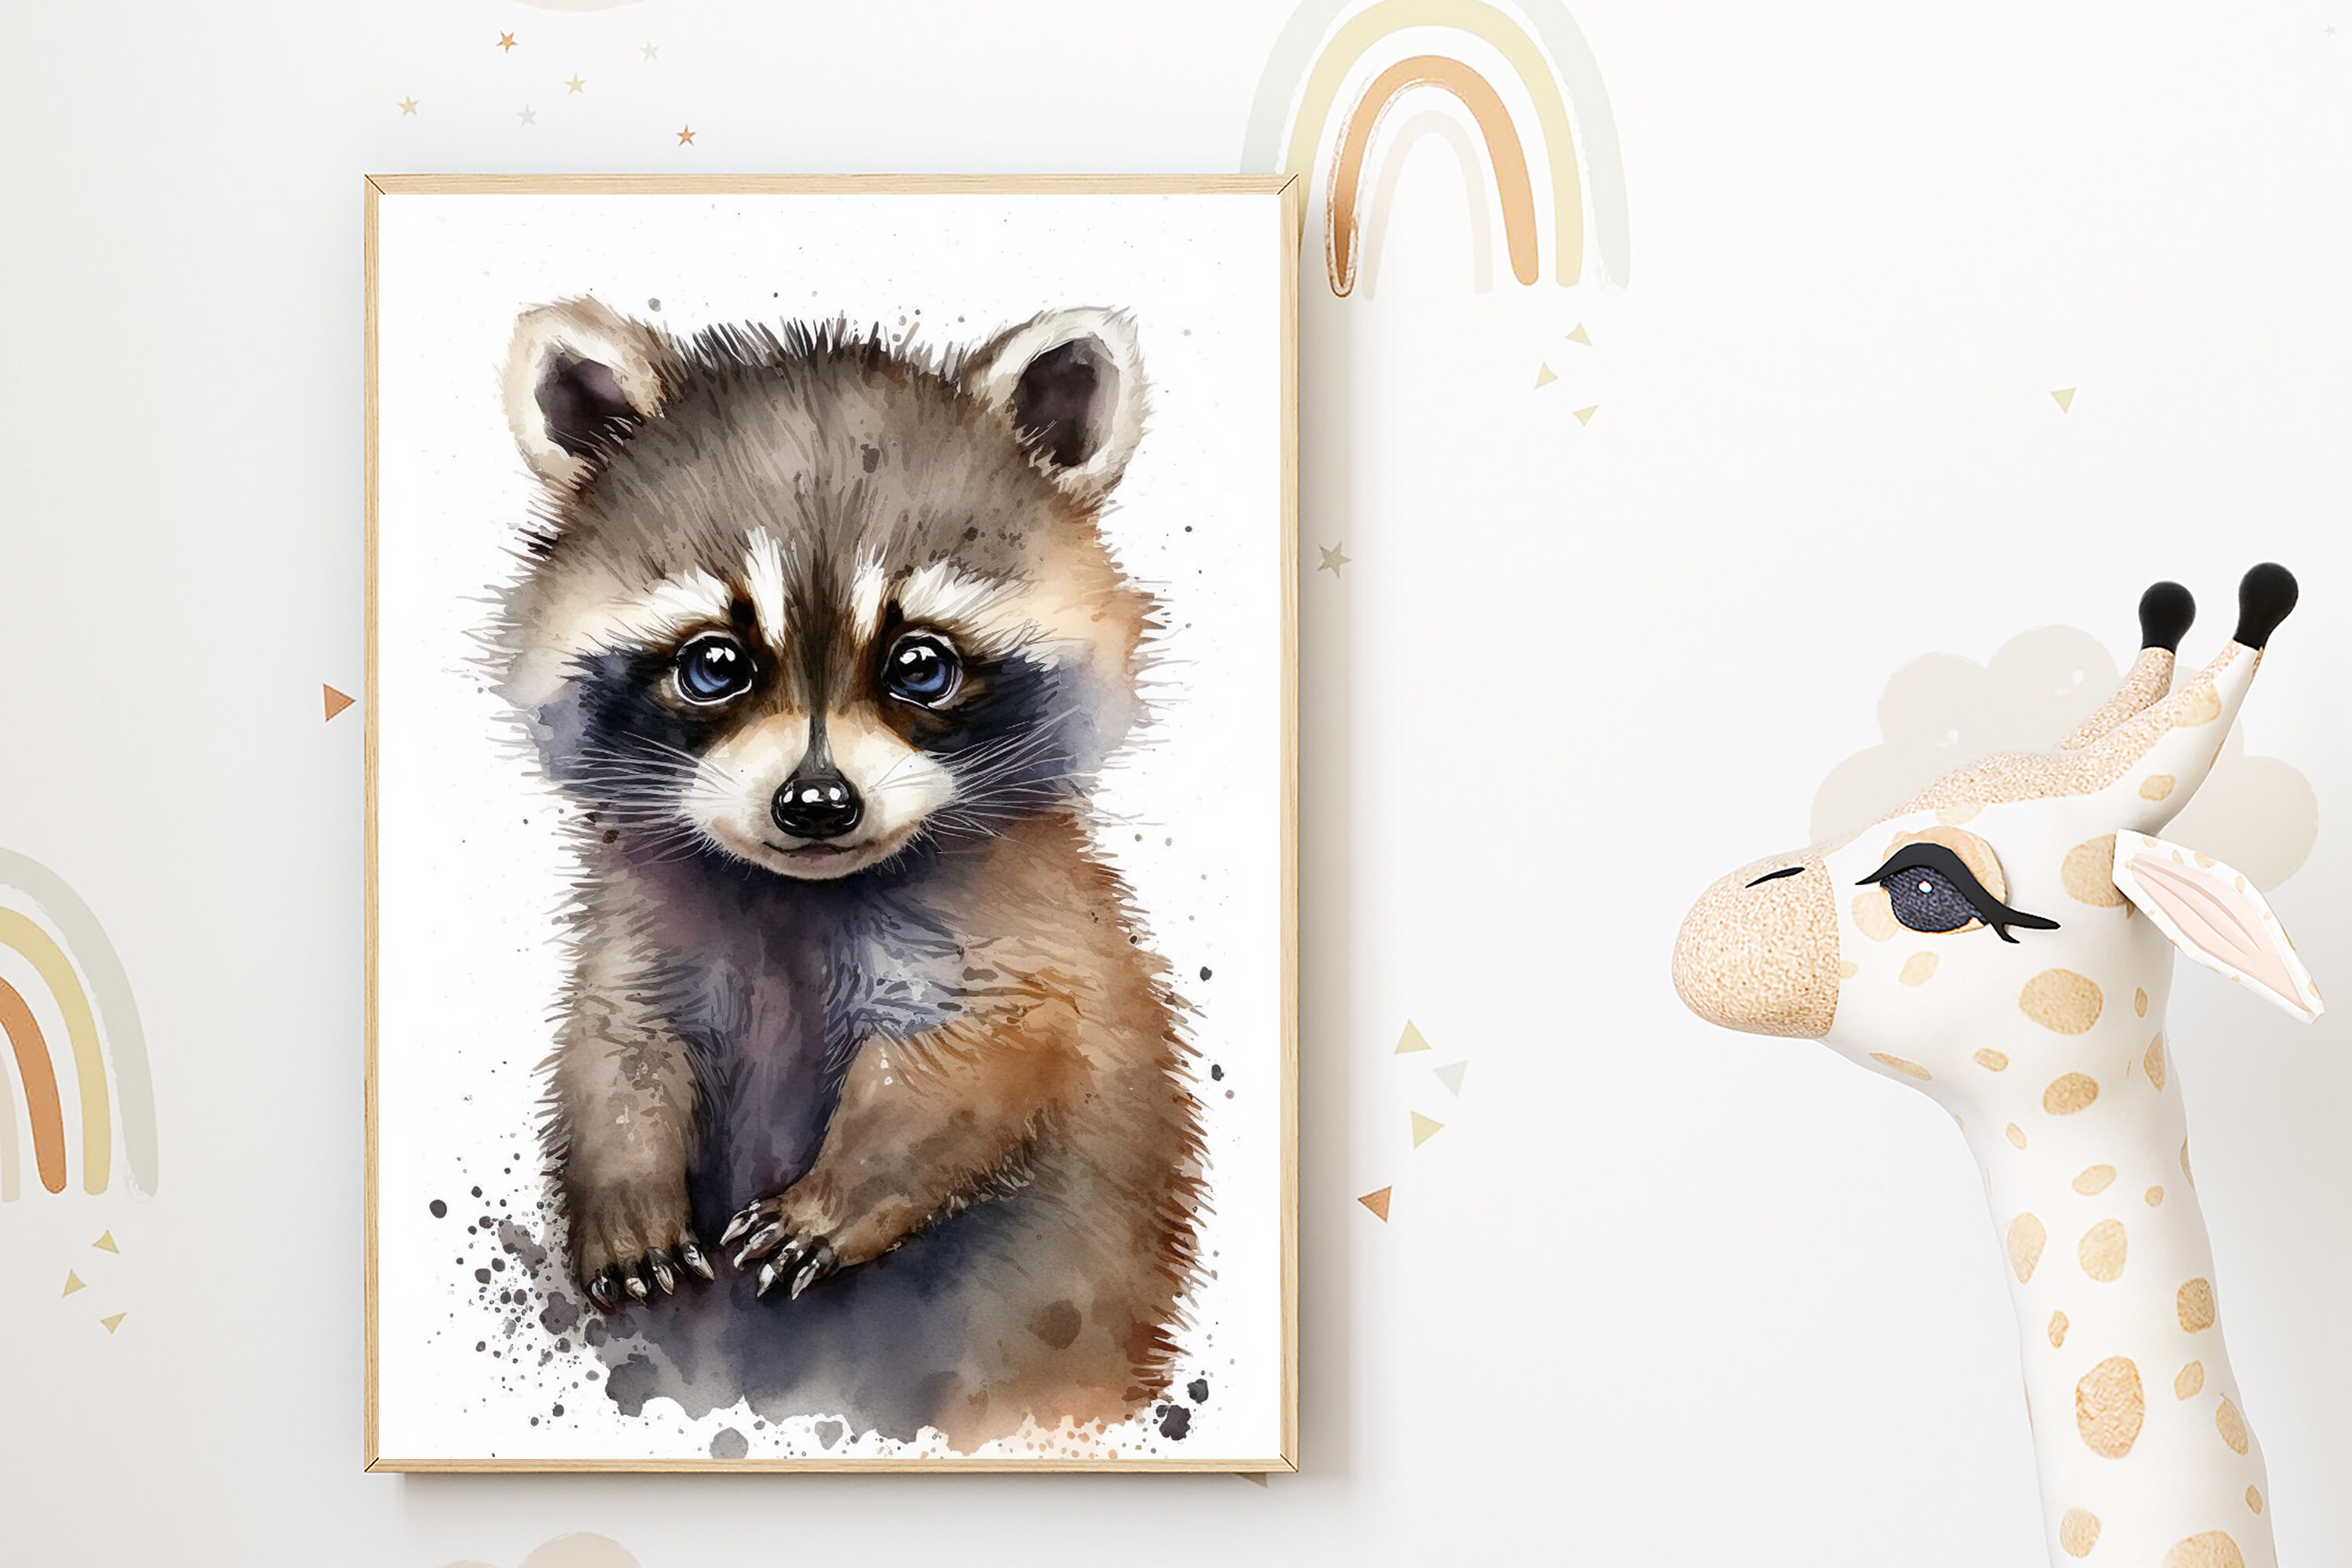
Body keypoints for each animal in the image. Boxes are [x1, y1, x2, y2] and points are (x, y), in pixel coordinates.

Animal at [489, 297, 1204, 1449]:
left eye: (920, 664)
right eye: (715, 664)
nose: (817, 804)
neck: (801, 894)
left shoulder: (1025, 931)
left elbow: (988, 1054)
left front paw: (844, 1191)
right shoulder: (643, 926)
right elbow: (613, 1044)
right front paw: (622, 1180)